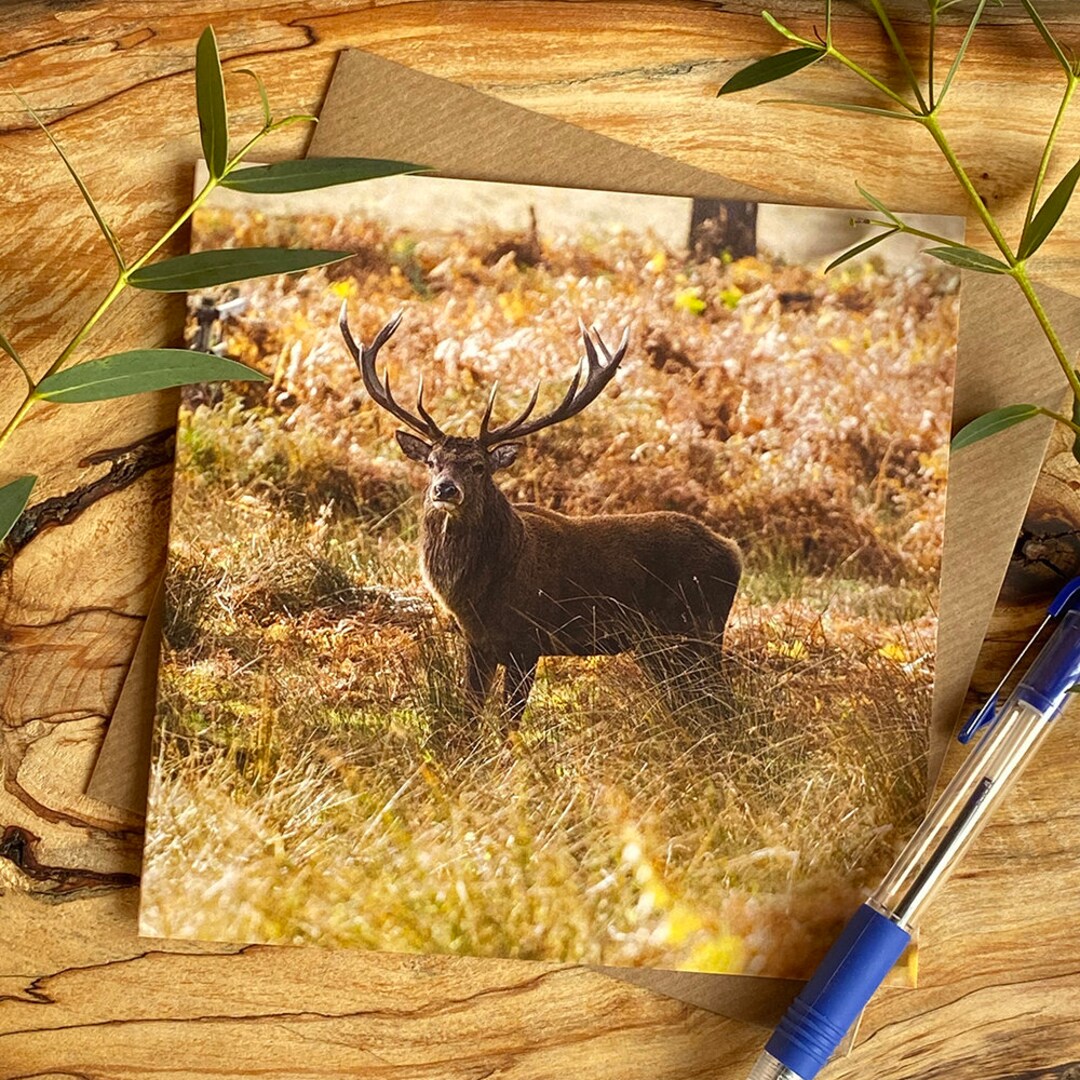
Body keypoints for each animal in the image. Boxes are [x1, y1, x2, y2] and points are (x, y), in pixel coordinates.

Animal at [340, 306, 742, 726]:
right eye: (432, 462)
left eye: (479, 466)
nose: (445, 489)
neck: (477, 595)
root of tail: (733, 552)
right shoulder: (477, 645)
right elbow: (469, 715)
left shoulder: (527, 640)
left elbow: (509, 723)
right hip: (661, 644)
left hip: (697, 627)